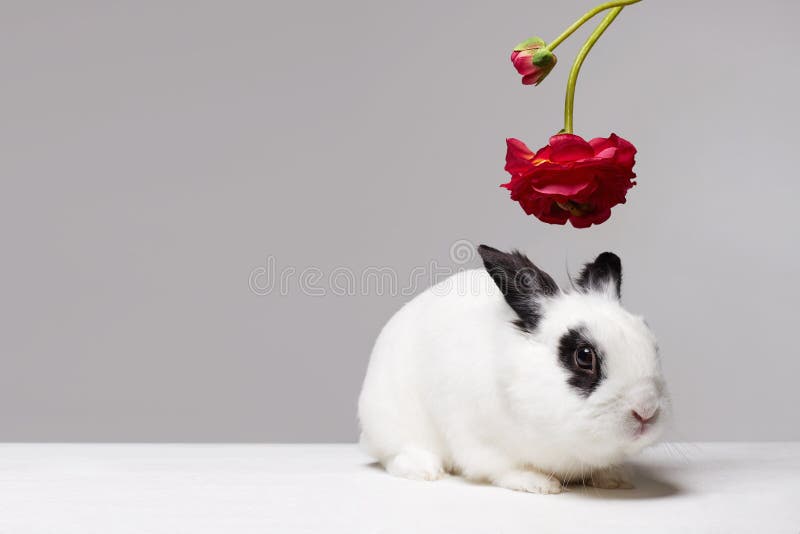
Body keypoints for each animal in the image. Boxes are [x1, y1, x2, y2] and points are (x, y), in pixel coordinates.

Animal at [358, 244, 668, 494]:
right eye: (583, 356)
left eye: (654, 346)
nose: (646, 409)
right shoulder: (479, 439)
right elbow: (504, 468)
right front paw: (539, 483)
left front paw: (616, 478)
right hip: (391, 419)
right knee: (395, 454)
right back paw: (426, 470)